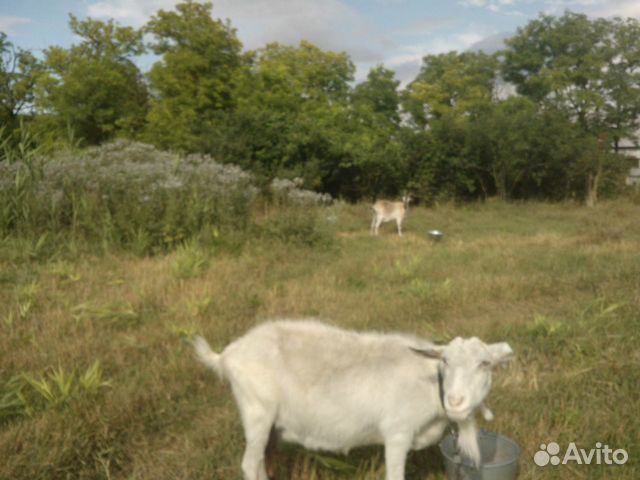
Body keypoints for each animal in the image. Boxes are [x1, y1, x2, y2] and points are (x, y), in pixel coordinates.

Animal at [193, 320, 513, 480]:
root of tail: (227, 355)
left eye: (485, 363)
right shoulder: (397, 432)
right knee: (249, 464)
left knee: (260, 463)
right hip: (256, 410)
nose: (456, 401)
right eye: (445, 361)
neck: (429, 382)